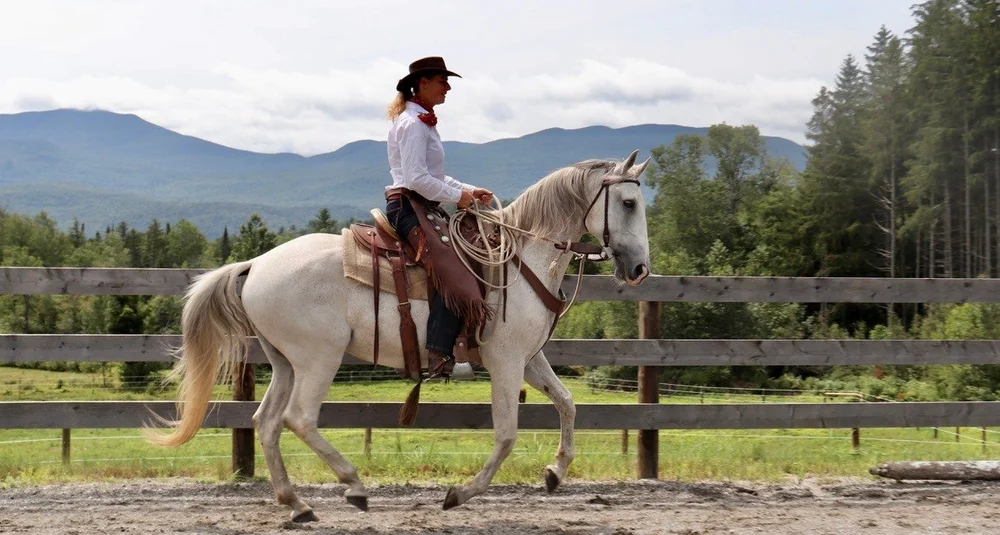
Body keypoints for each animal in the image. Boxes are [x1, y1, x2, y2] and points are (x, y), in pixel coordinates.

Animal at [145, 149, 652, 522]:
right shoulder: (505, 362)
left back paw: (298, 504)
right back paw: (353, 486)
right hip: (318, 359)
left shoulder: (528, 359)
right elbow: (507, 433)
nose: (640, 270)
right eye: (628, 203)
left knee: (266, 423)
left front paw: (555, 472)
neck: (519, 260)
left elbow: (567, 403)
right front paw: (460, 493)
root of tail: (255, 264)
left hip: (285, 362)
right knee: (299, 419)